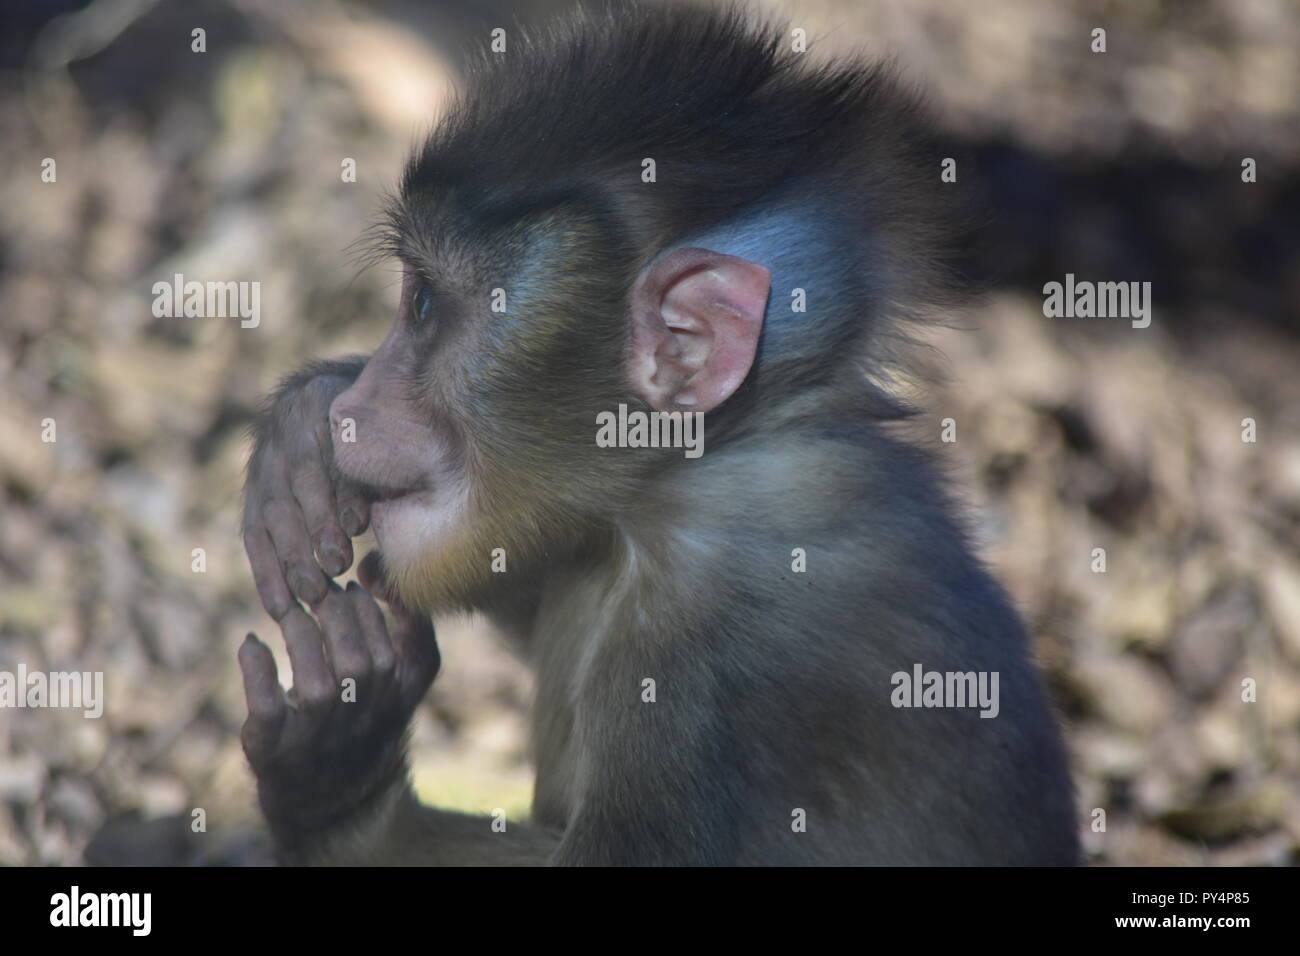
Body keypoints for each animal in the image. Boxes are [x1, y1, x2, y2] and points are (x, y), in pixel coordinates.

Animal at [239, 2, 1079, 866]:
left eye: (424, 305)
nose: (357, 404)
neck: (707, 466)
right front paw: (301, 437)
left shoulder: (694, 658)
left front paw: (339, 787)